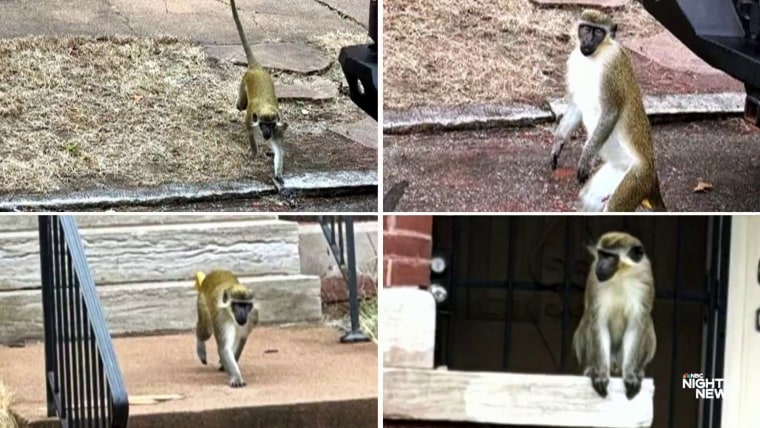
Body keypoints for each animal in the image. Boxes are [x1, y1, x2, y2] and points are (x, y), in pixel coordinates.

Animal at [230, 0, 287, 184]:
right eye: (263, 124)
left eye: (270, 125)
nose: (266, 133)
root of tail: (257, 68)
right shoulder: (251, 121)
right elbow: (250, 132)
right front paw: (255, 153)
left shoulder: (277, 128)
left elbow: (279, 149)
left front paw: (278, 174)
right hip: (244, 83)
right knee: (240, 105)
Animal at [550, 9, 667, 212]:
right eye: (586, 28)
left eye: (598, 32)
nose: (587, 41)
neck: (595, 56)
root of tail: (653, 177)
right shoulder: (574, 60)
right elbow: (576, 106)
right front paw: (558, 142)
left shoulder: (612, 69)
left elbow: (610, 113)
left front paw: (586, 157)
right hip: (617, 171)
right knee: (588, 201)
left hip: (638, 178)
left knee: (614, 207)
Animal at [572, 232, 656, 400]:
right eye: (601, 254)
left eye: (610, 256)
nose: (600, 265)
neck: (621, 274)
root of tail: (615, 364)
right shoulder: (594, 278)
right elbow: (598, 322)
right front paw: (601, 374)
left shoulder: (645, 278)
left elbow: (637, 324)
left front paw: (630, 374)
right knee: (588, 318)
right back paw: (591, 368)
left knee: (647, 322)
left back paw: (638, 370)